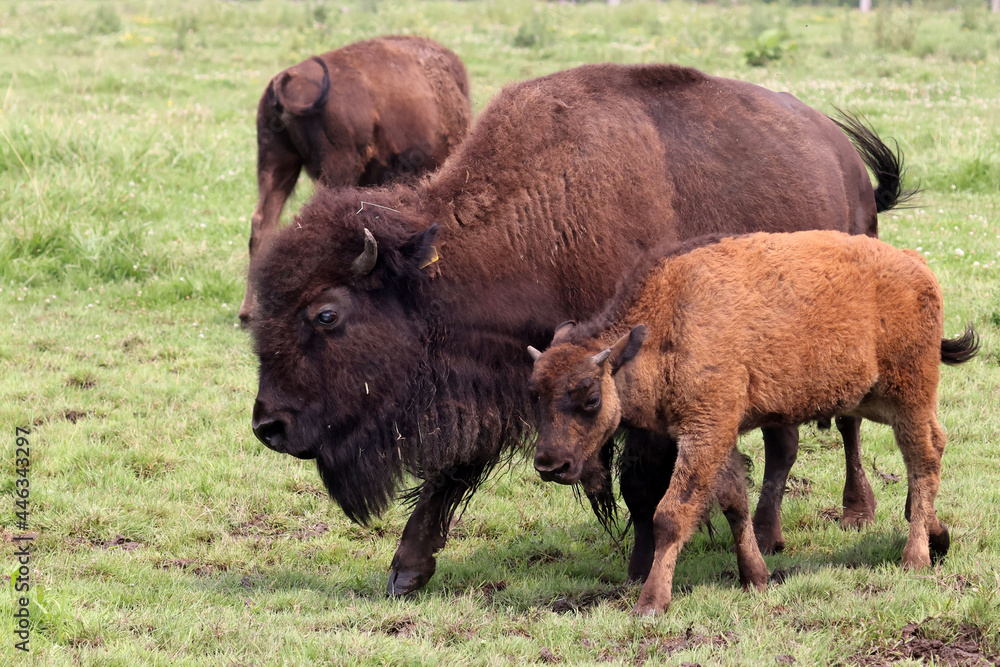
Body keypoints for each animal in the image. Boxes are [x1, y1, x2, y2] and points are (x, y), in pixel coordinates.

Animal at [249, 63, 909, 595]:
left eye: (326, 314)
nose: (267, 425)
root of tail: (847, 162)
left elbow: (641, 480)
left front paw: (641, 568)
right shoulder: (519, 376)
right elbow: (454, 467)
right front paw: (406, 571)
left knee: (843, 423)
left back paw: (853, 512)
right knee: (783, 440)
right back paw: (770, 533)